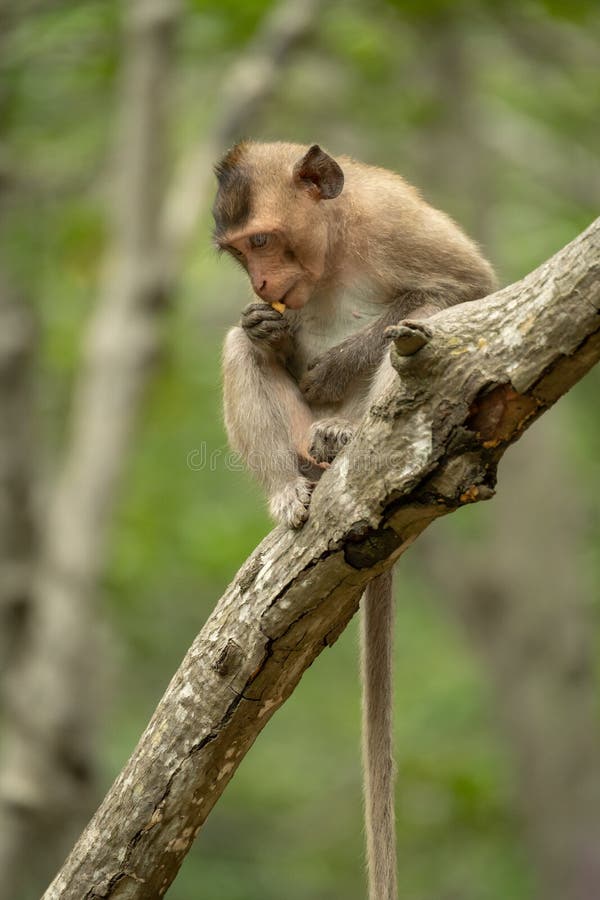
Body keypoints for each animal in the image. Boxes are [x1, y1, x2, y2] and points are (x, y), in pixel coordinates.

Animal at [214, 141, 496, 900]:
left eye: (260, 241)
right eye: (238, 252)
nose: (262, 281)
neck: (334, 250)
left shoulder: (392, 222)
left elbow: (467, 291)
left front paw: (326, 364)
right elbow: (253, 336)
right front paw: (271, 333)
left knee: (421, 338)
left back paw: (346, 435)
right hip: (295, 441)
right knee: (237, 347)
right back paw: (290, 489)